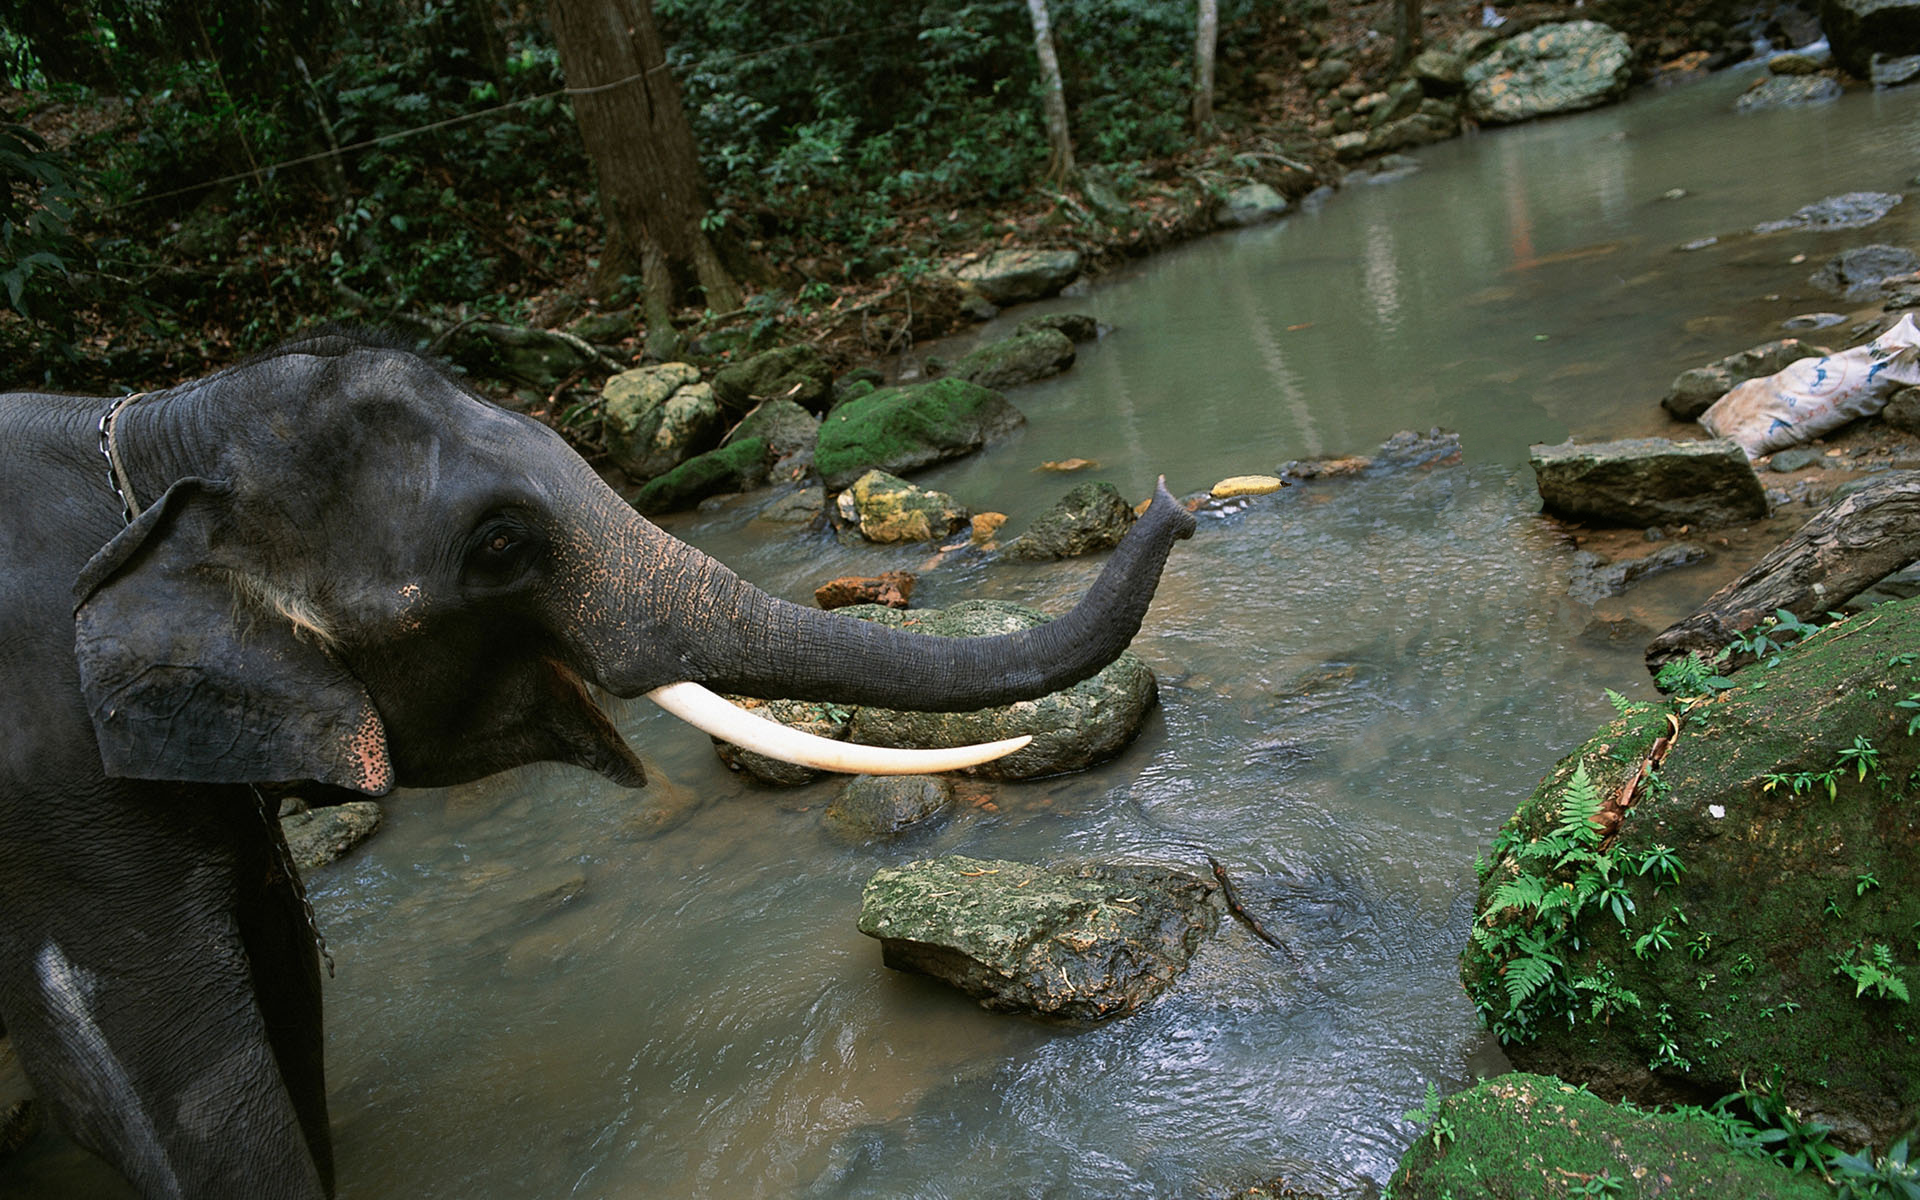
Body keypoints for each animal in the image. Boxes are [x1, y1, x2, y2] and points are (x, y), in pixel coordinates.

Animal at [0, 329, 1195, 1198]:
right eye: (498, 545)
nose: (1178, 503)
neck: (158, 435)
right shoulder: (53, 775)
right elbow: (161, 1069)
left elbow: (284, 984)